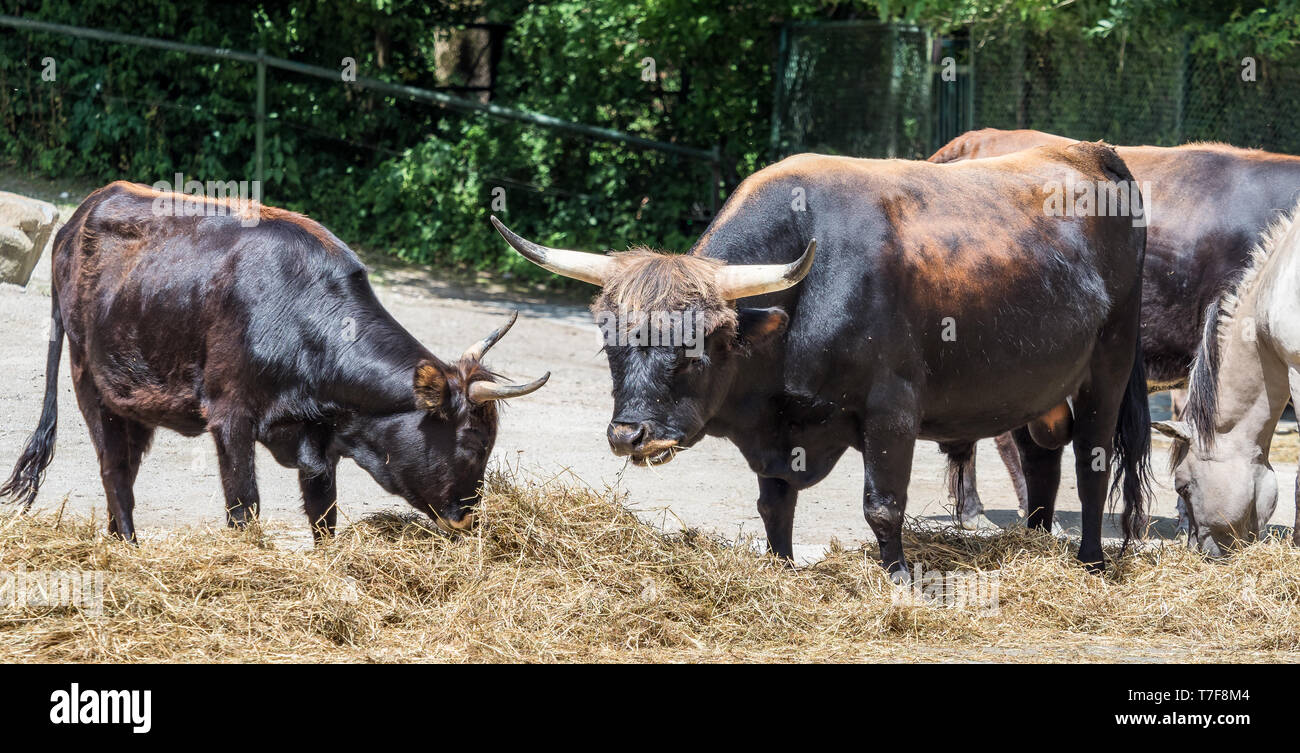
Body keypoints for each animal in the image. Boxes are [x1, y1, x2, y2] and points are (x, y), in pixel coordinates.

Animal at [1, 181, 548, 540]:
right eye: (474, 442)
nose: (468, 519)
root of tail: (83, 211)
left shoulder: (321, 440)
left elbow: (325, 517)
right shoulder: (230, 417)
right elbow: (245, 509)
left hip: (133, 399)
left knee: (125, 471)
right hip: (86, 377)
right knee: (114, 472)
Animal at [493, 142, 1153, 577]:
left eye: (695, 349)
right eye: (611, 343)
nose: (631, 435)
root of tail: (1096, 153)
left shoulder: (893, 411)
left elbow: (883, 506)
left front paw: (899, 578)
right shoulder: (773, 430)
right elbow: (774, 502)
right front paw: (781, 567)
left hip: (1109, 367)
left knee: (1092, 462)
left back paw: (1091, 561)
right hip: (1033, 384)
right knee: (1041, 454)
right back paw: (1036, 539)